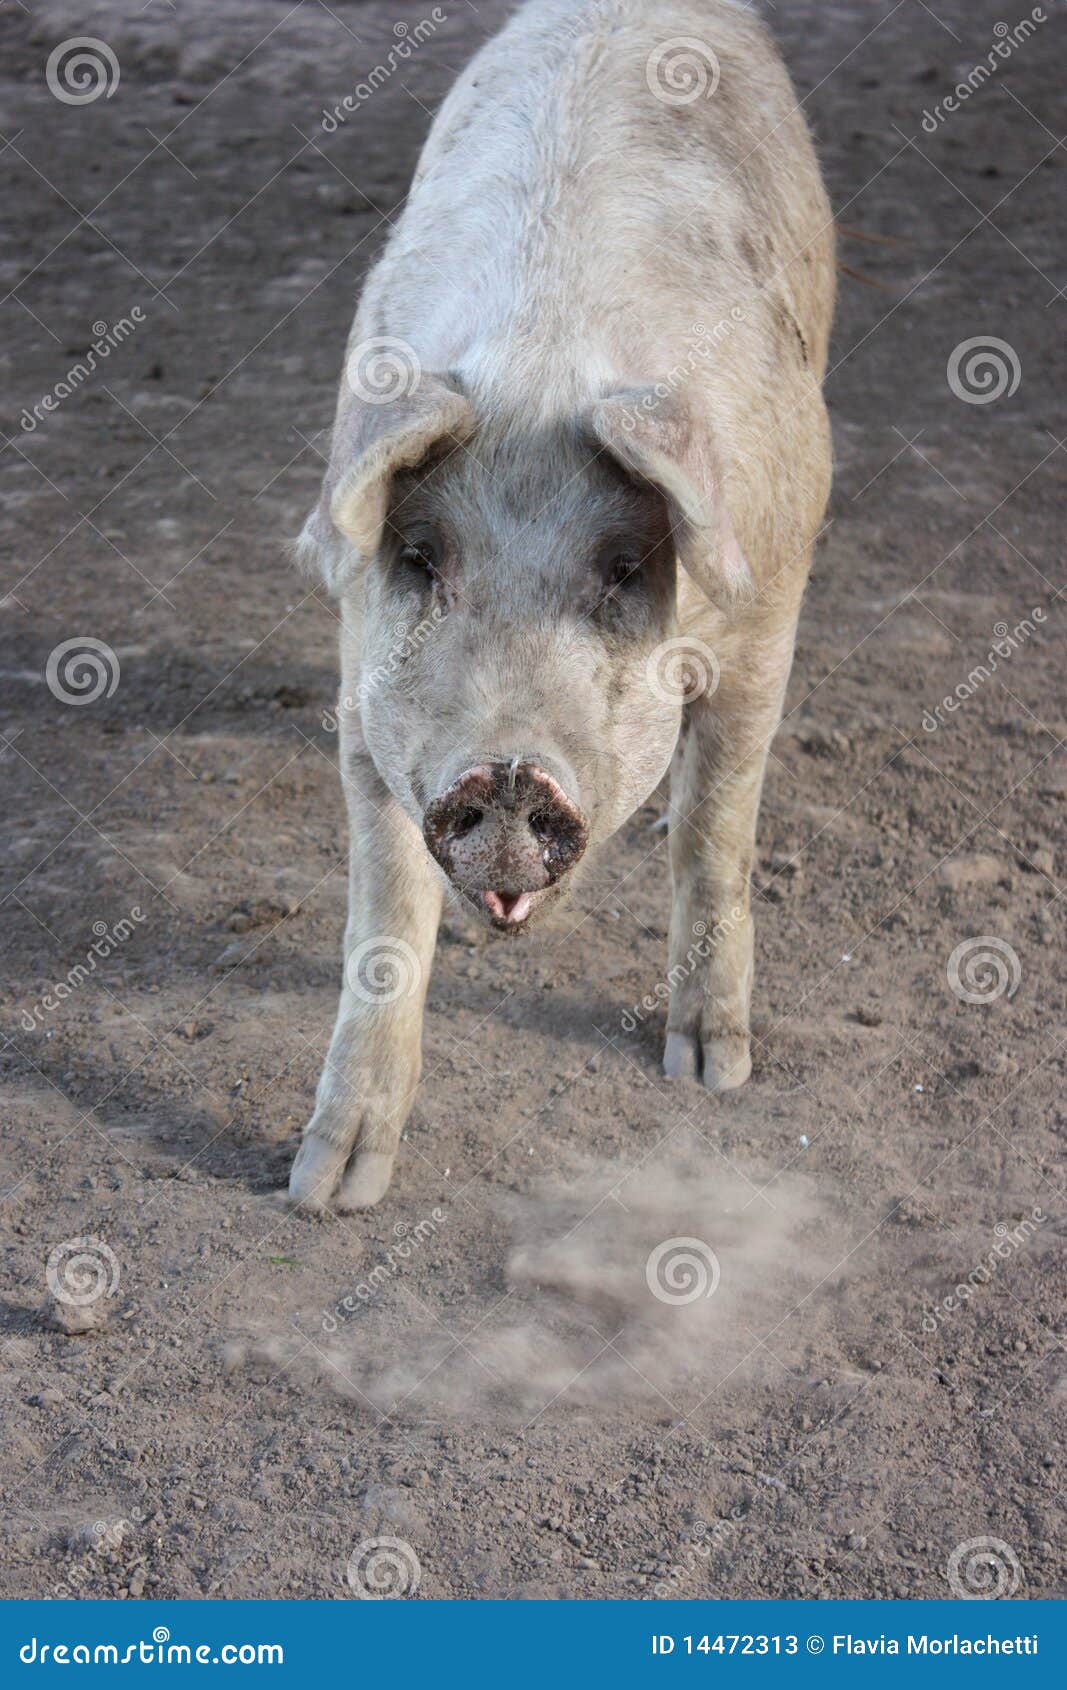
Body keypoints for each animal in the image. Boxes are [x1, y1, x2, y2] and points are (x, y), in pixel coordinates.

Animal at [288, 0, 835, 1212]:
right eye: (420, 557)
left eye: (624, 569)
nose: (504, 772)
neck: (541, 366)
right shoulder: (363, 686)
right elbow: (383, 919)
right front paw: (328, 1189)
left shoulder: (766, 610)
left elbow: (716, 835)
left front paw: (711, 1073)